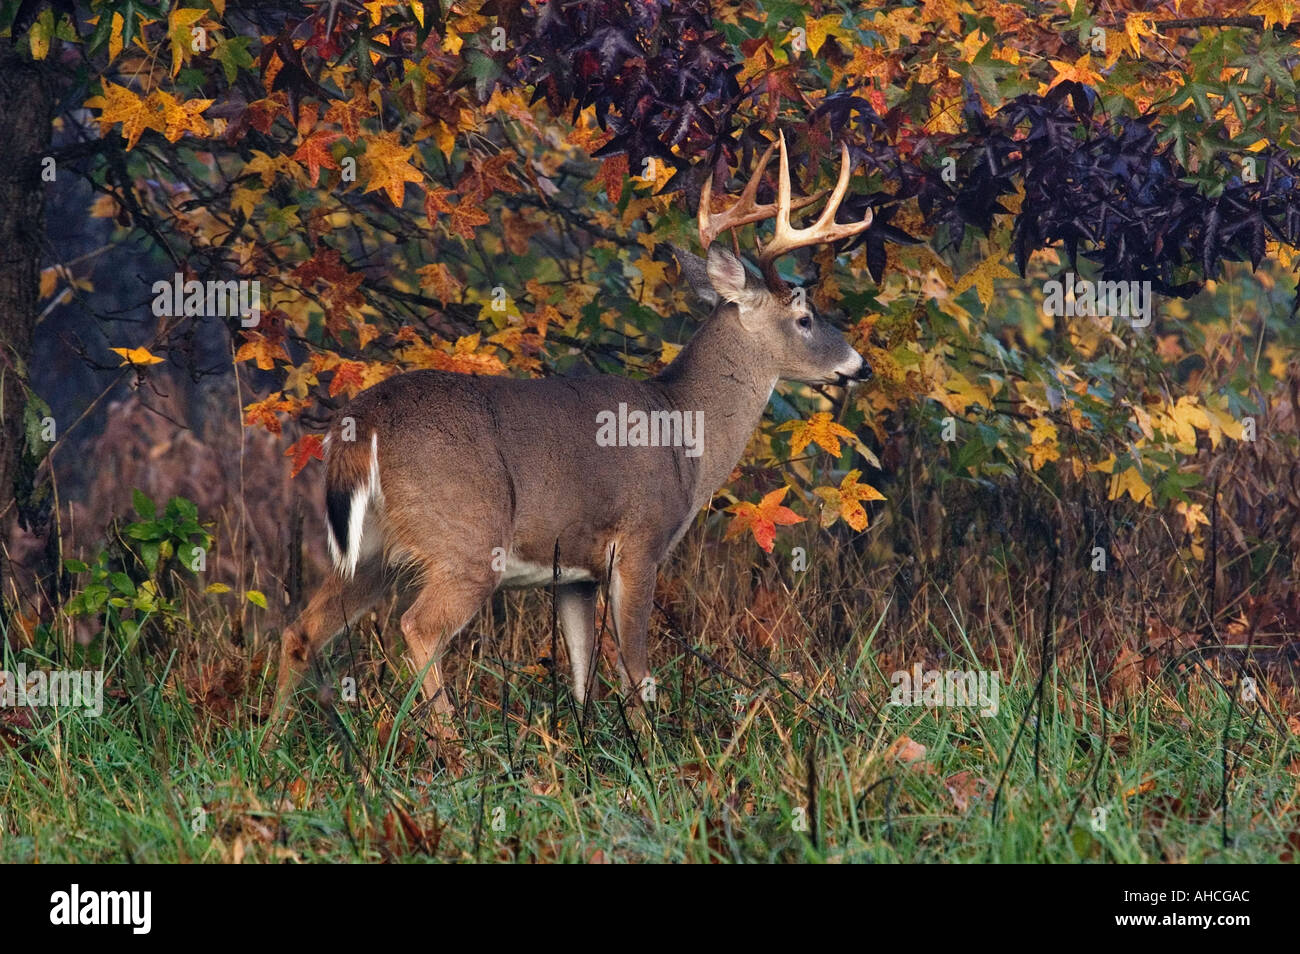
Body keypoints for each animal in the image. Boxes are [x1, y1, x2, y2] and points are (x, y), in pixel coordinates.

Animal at [269, 132, 874, 744]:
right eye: (804, 317)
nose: (860, 366)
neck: (684, 432)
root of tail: (362, 421)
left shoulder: (574, 572)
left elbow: (583, 674)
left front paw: (582, 750)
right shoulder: (639, 540)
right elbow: (635, 670)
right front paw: (650, 750)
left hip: (374, 549)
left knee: (301, 631)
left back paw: (267, 737)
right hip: (466, 535)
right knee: (417, 628)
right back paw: (454, 745)